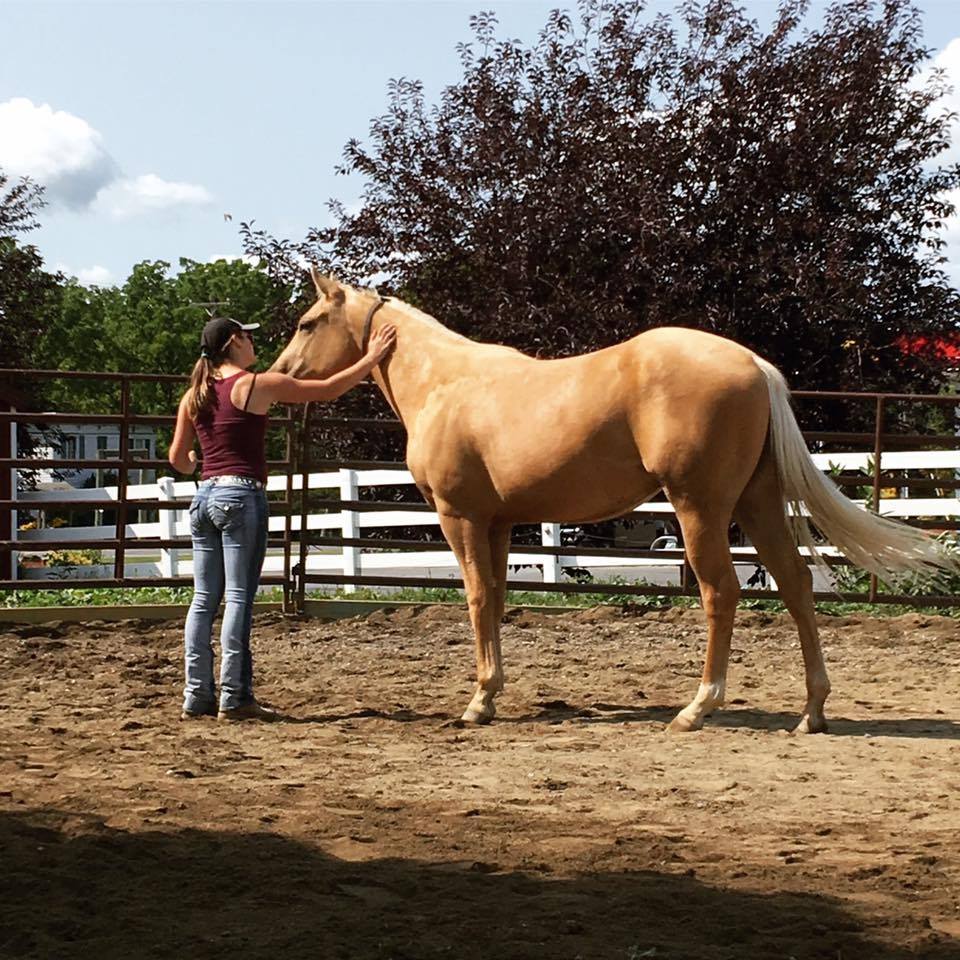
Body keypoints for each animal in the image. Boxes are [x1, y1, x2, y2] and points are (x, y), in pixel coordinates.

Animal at [271, 269, 953, 733]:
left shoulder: (458, 517)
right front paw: (492, 694)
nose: (280, 378)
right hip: (756, 505)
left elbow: (475, 599)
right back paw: (810, 712)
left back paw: (697, 708)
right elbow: (496, 599)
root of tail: (755, 366)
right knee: (795, 586)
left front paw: (476, 703)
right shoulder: (497, 523)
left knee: (722, 592)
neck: (445, 382)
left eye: (307, 324)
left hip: (700, 508)